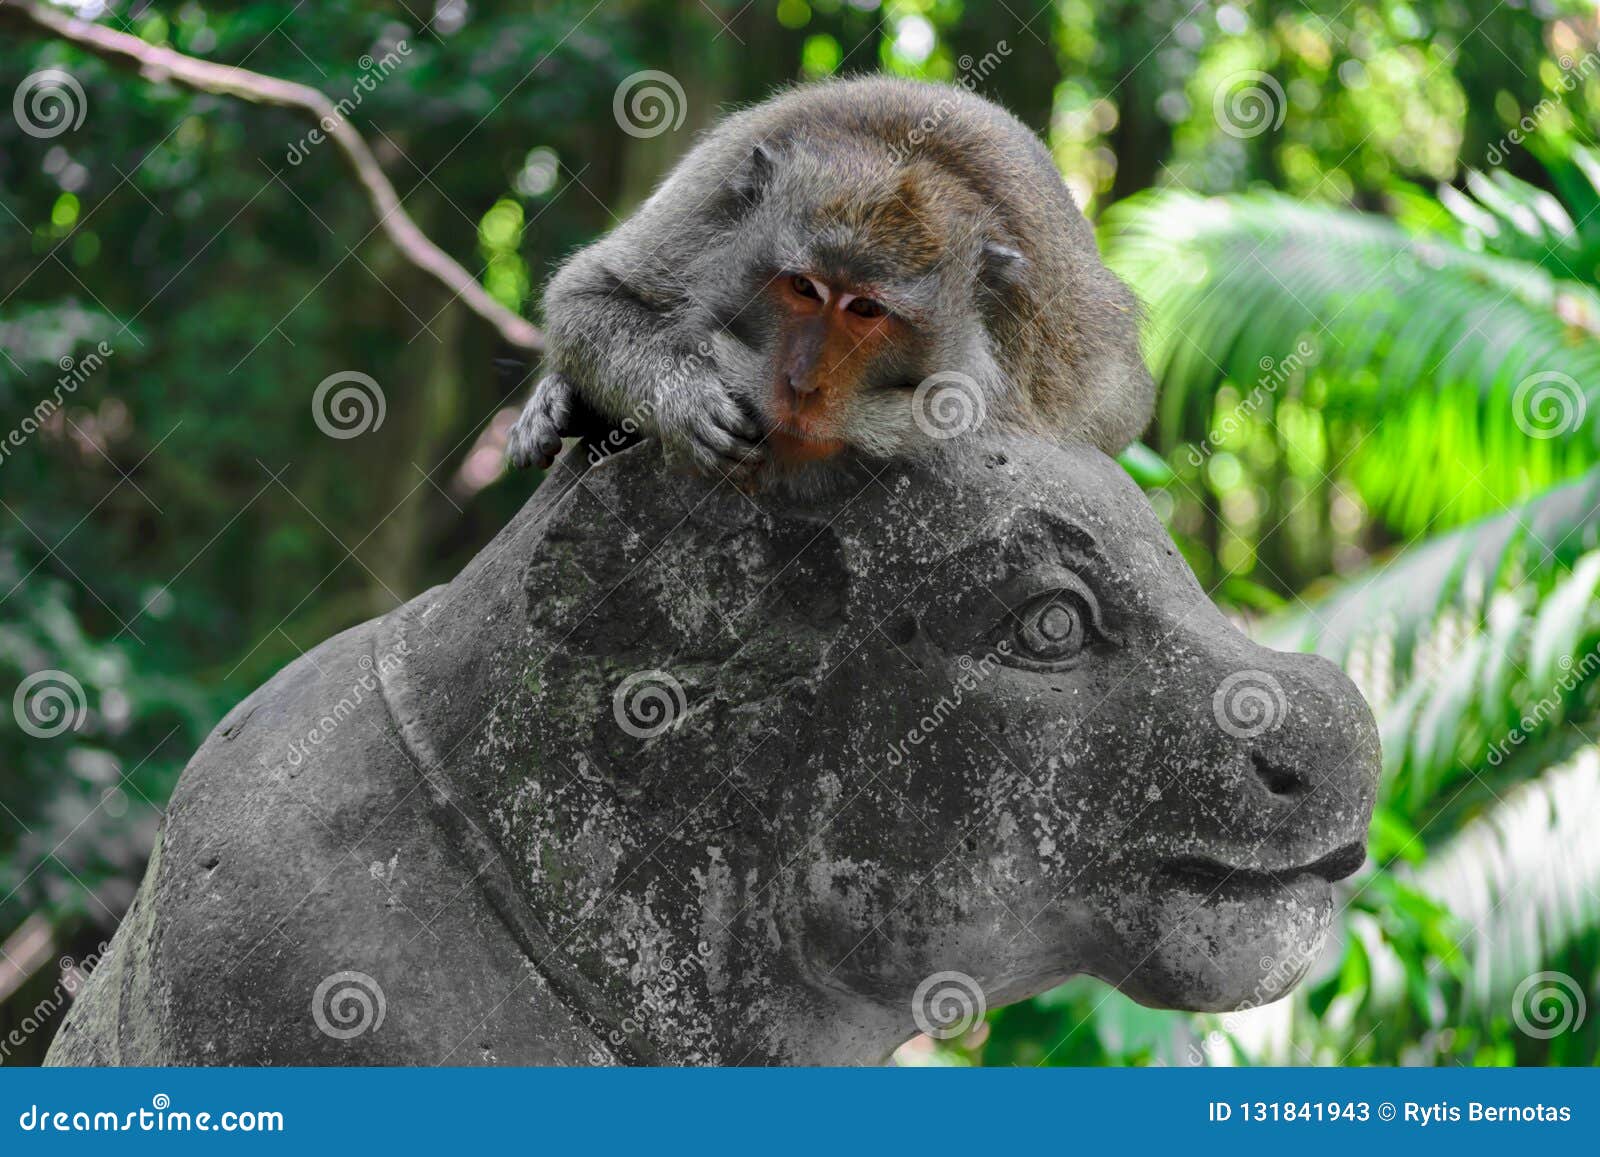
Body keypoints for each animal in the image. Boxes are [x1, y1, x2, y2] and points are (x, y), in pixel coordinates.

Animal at [505, 75, 1155, 493]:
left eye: (866, 309)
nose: (801, 385)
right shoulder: (709, 201)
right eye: (803, 288)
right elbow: (587, 294)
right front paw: (684, 400)